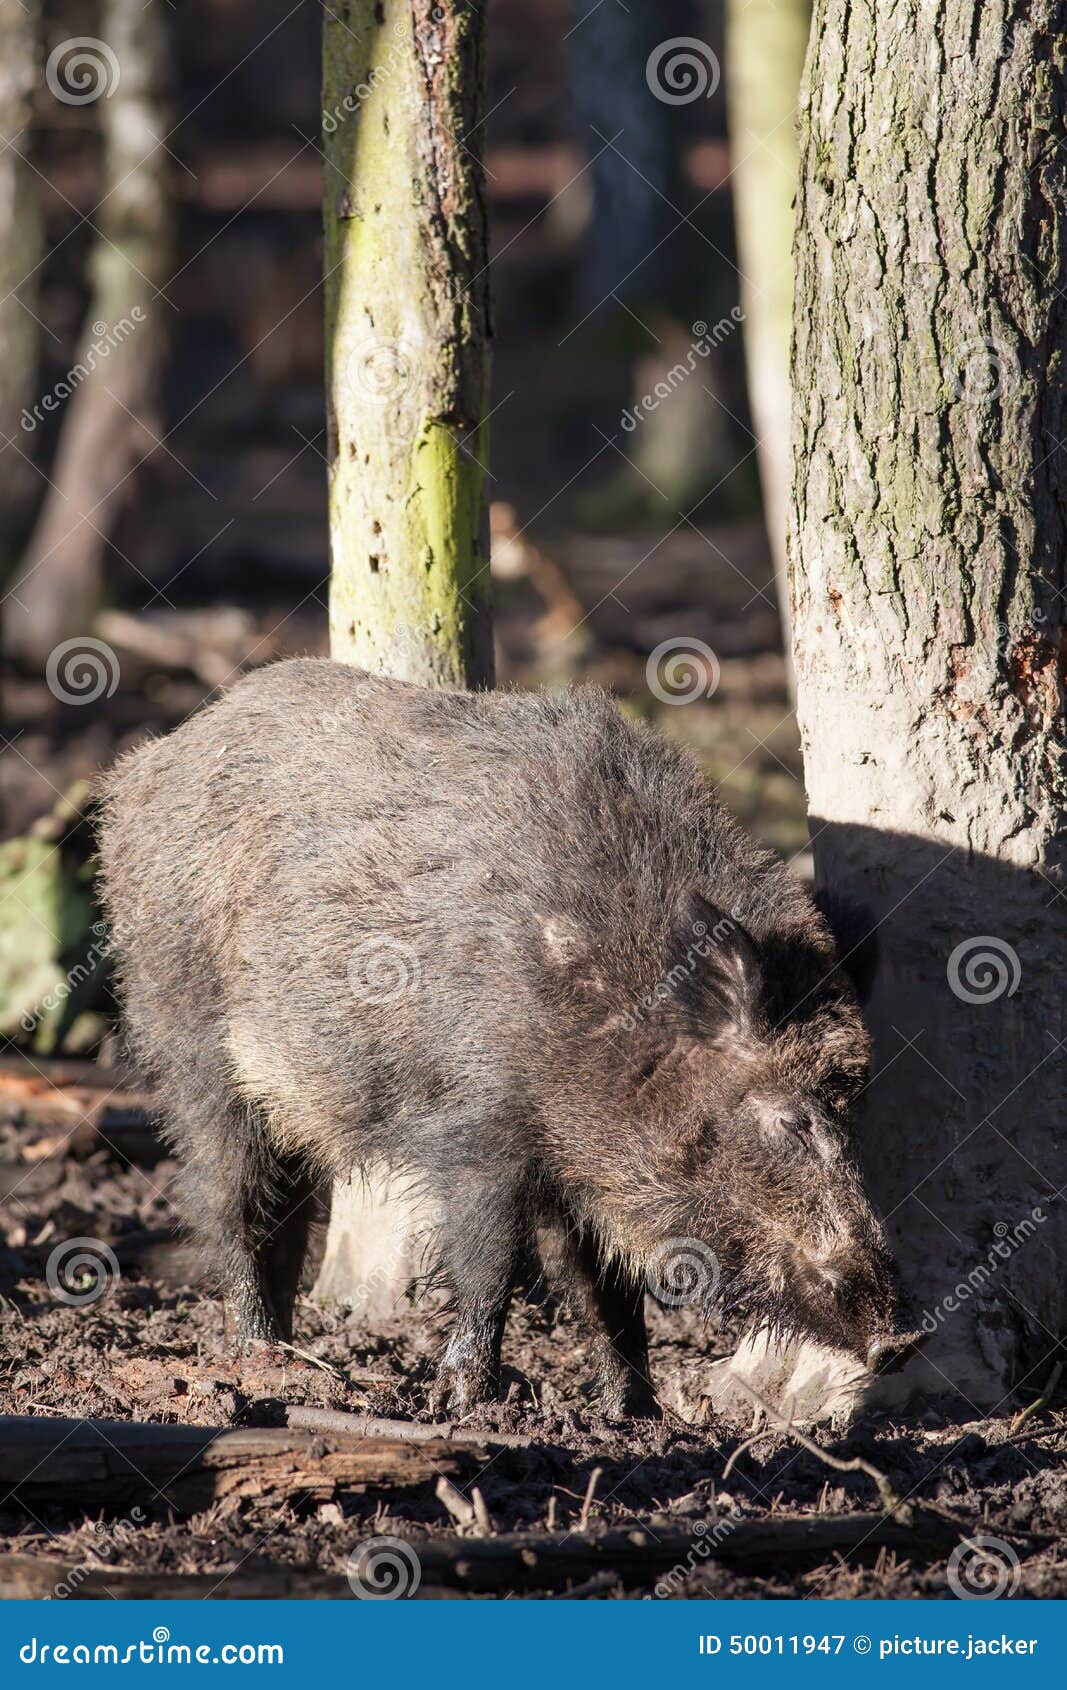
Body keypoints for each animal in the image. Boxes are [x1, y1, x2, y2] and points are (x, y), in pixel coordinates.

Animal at [95, 659, 921, 1417]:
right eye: (790, 1119)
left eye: (853, 1112)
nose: (901, 1339)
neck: (611, 1005)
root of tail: (142, 770)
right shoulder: (482, 1125)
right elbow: (492, 1260)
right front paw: (464, 1402)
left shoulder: (579, 1161)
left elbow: (604, 1287)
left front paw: (638, 1415)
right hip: (188, 1035)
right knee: (230, 1197)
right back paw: (261, 1357)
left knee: (288, 1209)